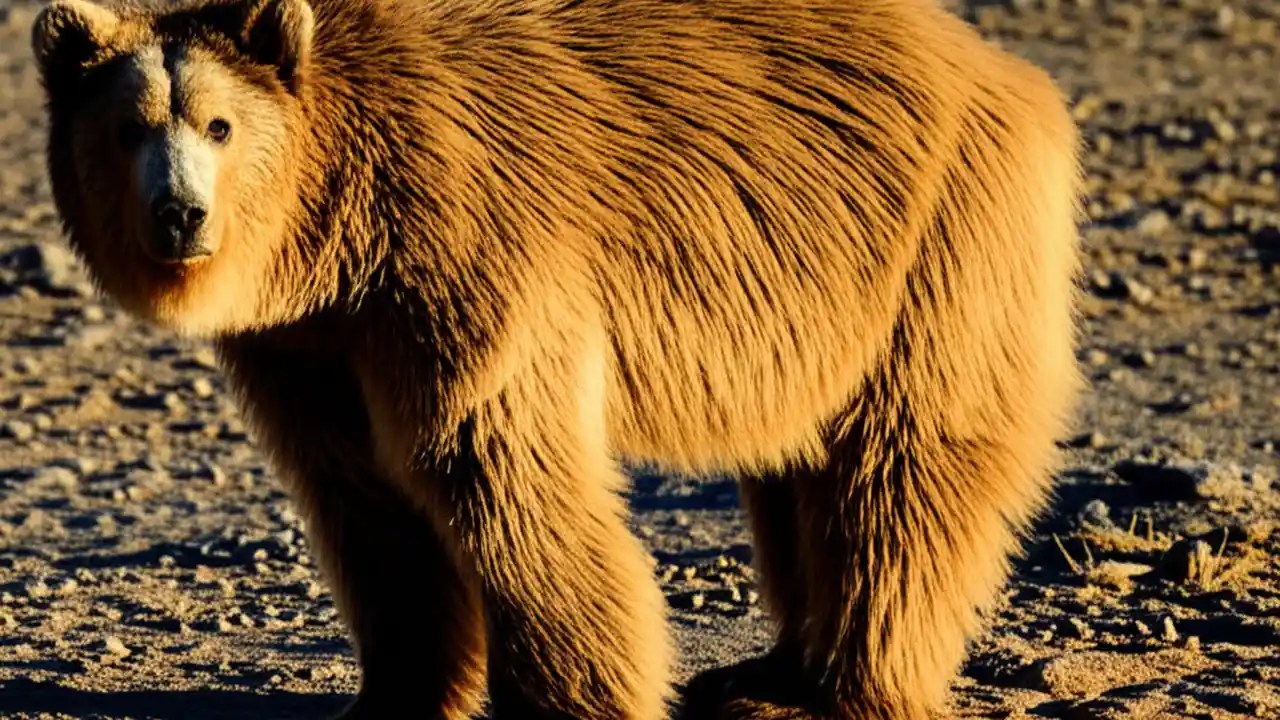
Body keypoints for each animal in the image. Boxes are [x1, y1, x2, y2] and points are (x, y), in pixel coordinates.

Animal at [31, 0, 1083, 717]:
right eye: (127, 127)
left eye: (218, 124)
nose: (180, 214)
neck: (336, 225)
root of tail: (1013, 74)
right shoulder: (311, 341)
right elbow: (362, 495)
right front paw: (393, 695)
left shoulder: (461, 253)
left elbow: (493, 473)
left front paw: (577, 693)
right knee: (800, 468)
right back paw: (768, 667)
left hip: (929, 240)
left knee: (903, 464)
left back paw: (827, 689)